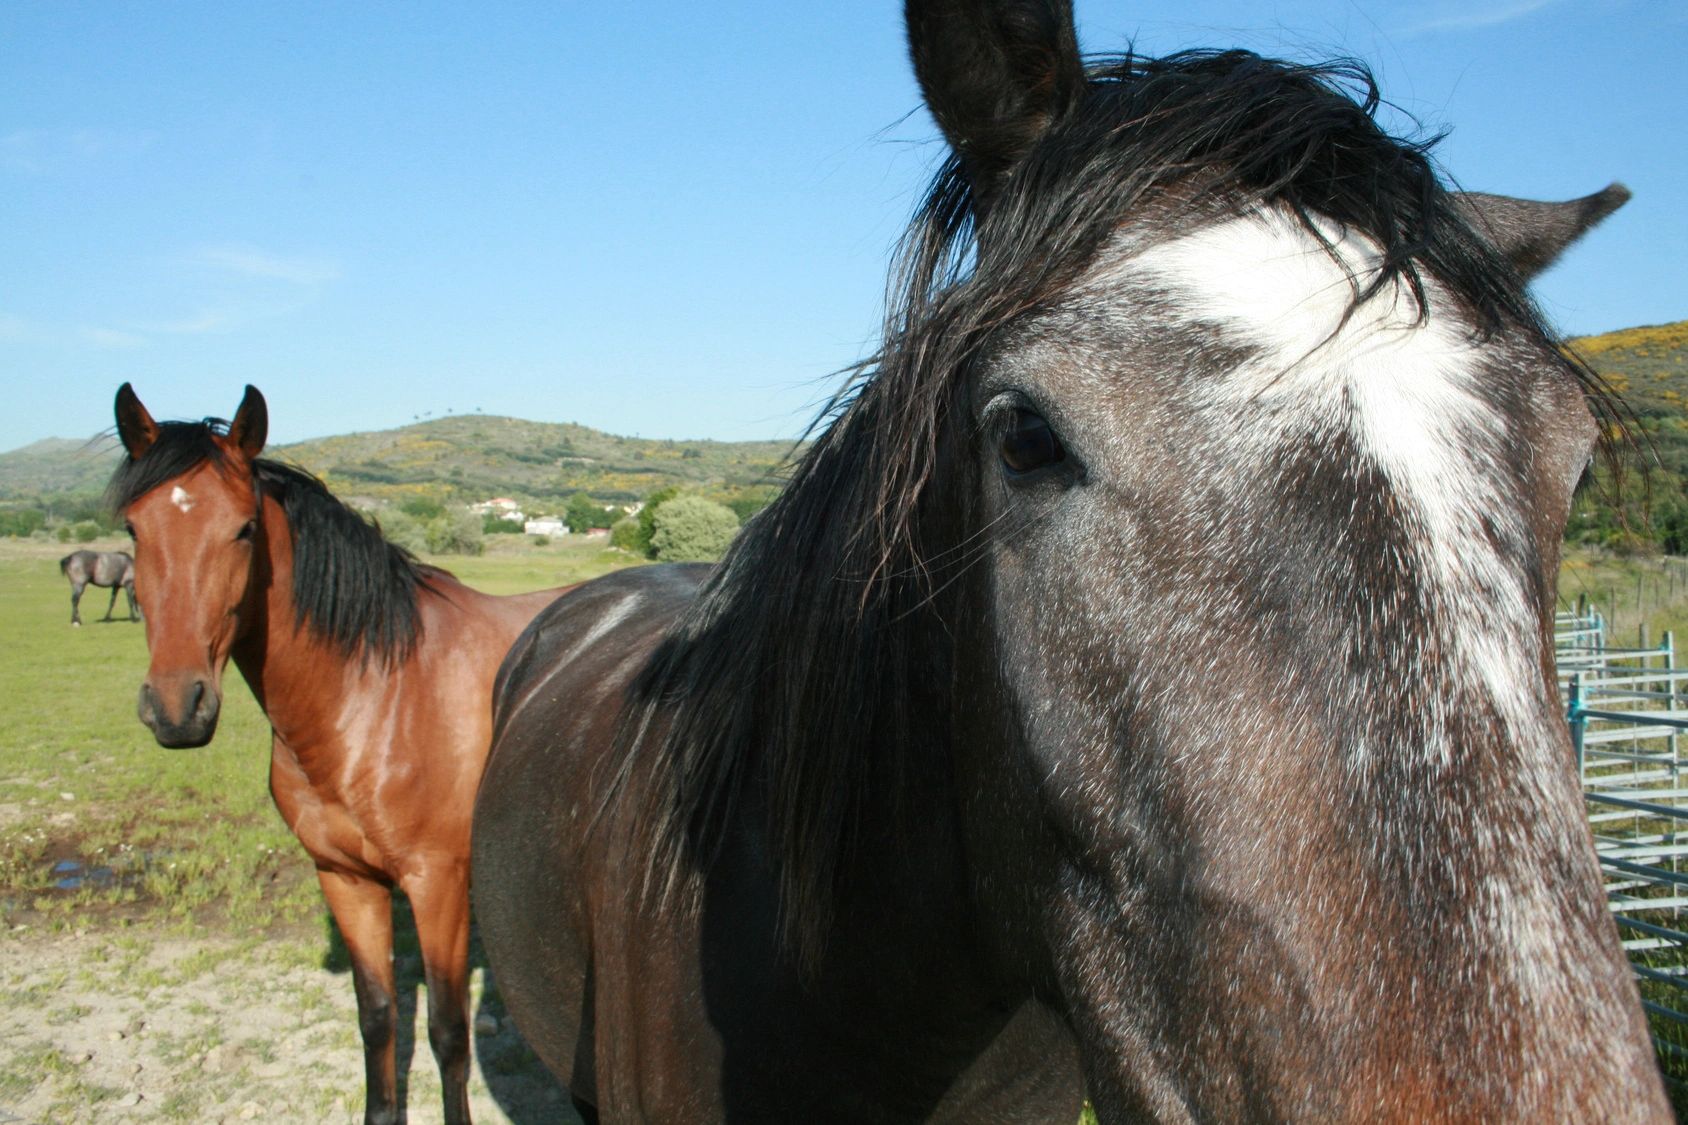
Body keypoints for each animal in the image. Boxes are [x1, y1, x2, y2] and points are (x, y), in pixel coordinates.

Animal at [107, 384, 574, 1125]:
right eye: (132, 530)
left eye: (244, 529)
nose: (178, 707)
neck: (376, 695)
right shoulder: (346, 879)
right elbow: (378, 1016)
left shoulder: (437, 884)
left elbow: (447, 1032)